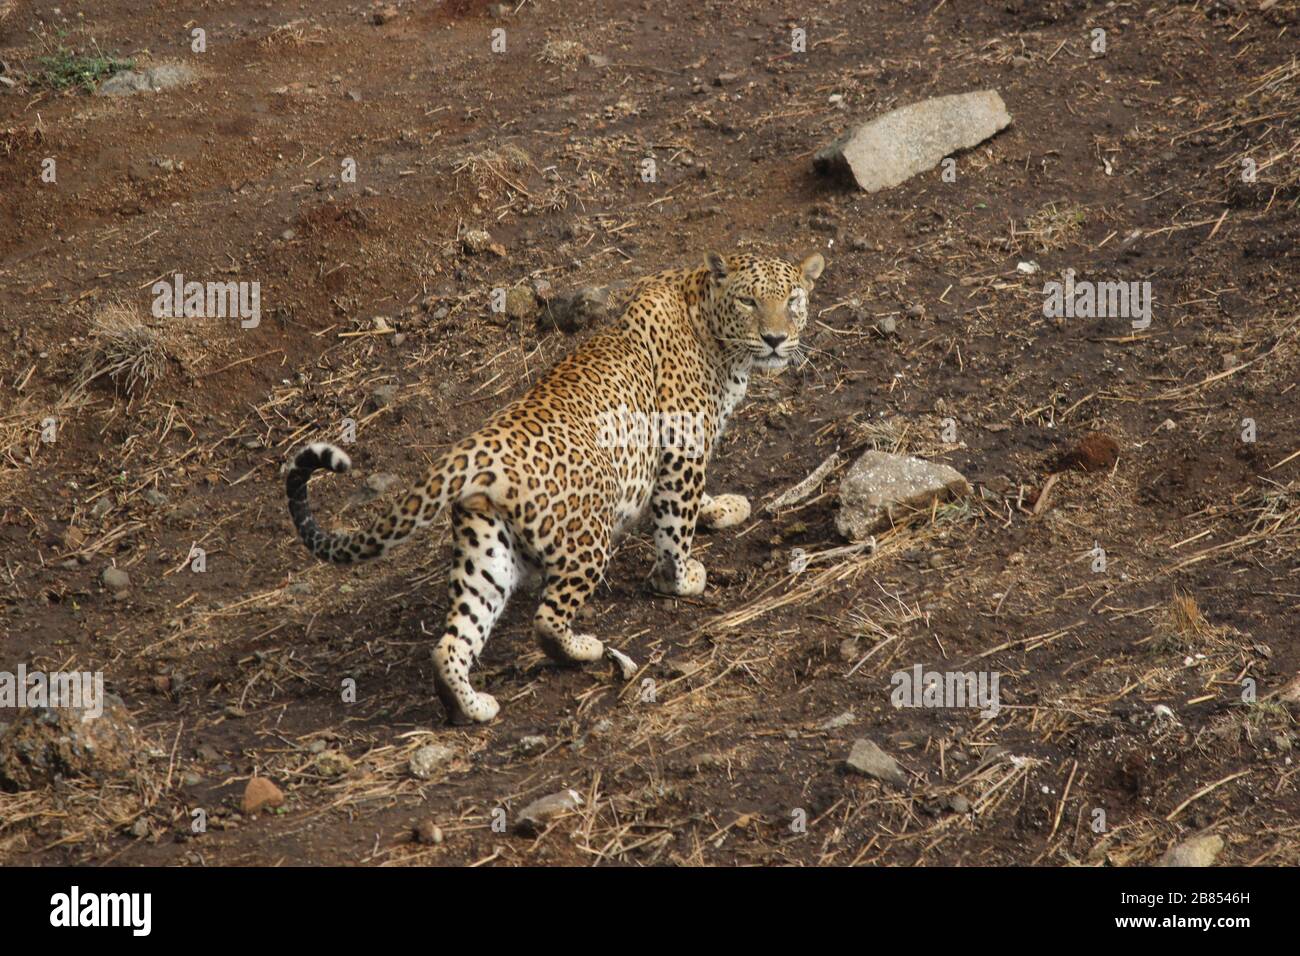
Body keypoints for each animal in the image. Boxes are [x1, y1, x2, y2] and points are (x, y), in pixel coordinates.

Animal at [285, 250, 825, 724]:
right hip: (585, 535)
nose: (775, 338)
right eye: (748, 301)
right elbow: (676, 524)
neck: (711, 327)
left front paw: (718, 507)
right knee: (546, 618)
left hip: (487, 554)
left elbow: (690, 503)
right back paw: (583, 649)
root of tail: (477, 447)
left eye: (793, 299)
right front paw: (681, 577)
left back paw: (471, 707)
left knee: (452, 642)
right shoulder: (681, 447)